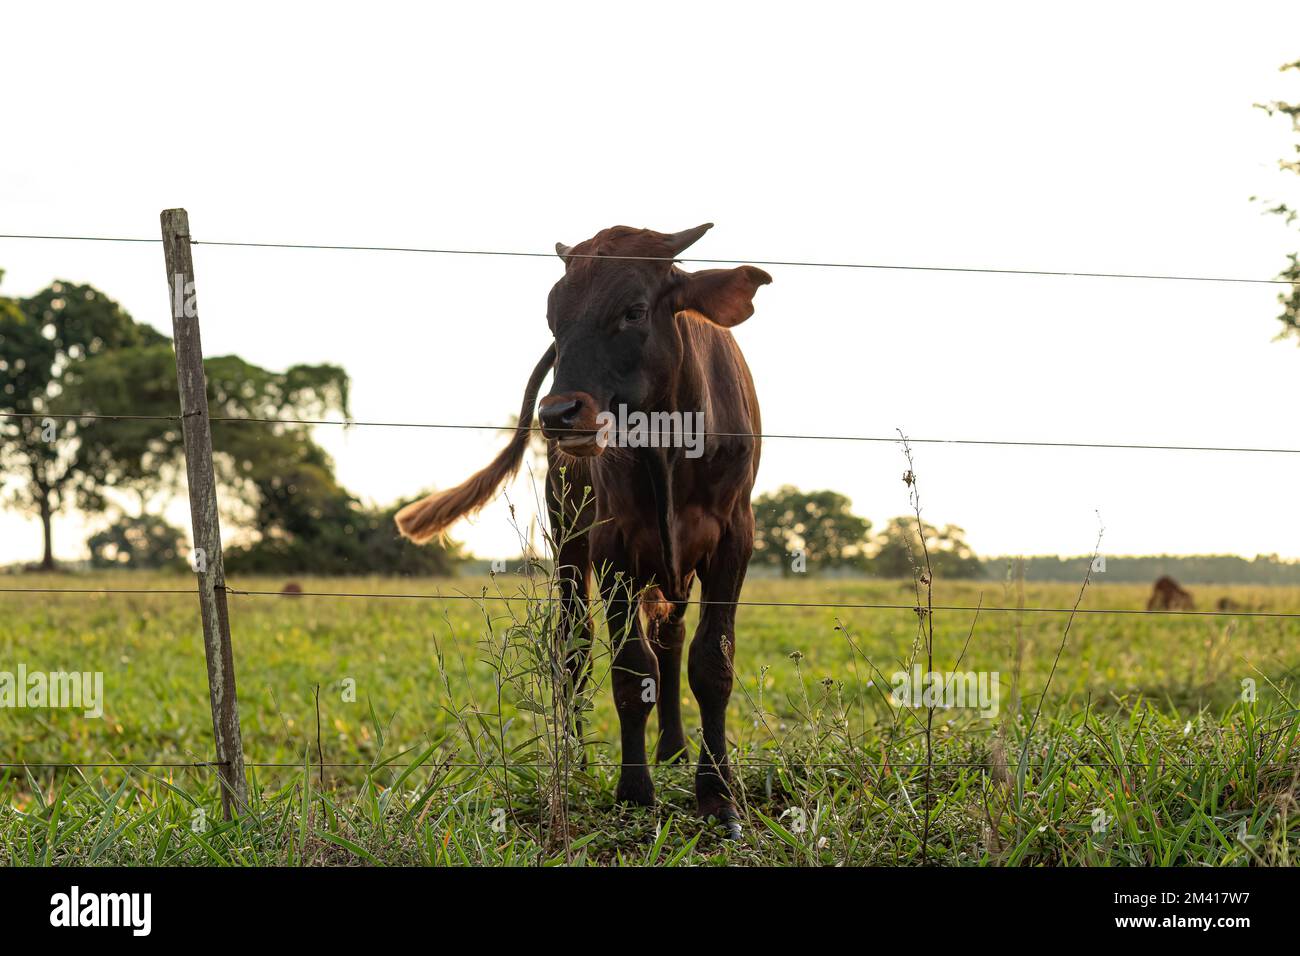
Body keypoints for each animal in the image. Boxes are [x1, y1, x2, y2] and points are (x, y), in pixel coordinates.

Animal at [394, 224, 770, 837]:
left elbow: (711, 663)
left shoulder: (734, 539)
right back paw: (575, 761)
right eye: (554, 317)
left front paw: (717, 797)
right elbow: (630, 671)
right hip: (569, 537)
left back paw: (672, 749)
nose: (557, 414)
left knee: (670, 639)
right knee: (573, 644)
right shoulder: (615, 546)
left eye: (634, 311)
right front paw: (634, 792)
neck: (669, 444)